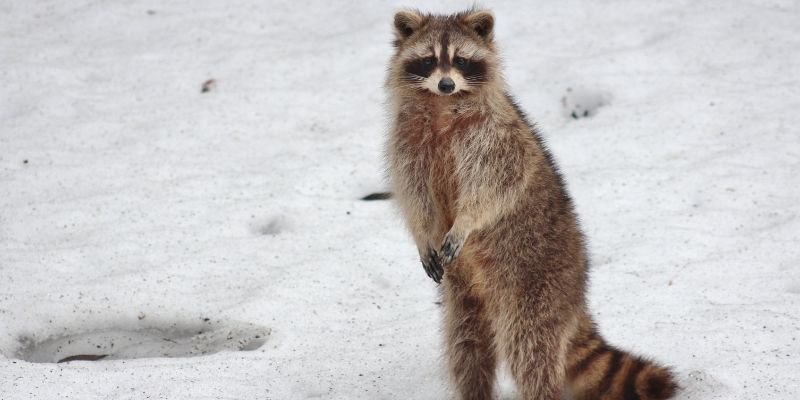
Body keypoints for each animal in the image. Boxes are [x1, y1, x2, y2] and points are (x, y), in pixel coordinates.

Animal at [385, 9, 677, 400]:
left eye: (460, 60)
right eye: (430, 59)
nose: (446, 84)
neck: (443, 105)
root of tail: (577, 295)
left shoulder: (496, 137)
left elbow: (496, 185)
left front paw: (466, 221)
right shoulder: (406, 140)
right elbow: (413, 193)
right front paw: (422, 233)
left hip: (537, 285)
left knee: (529, 346)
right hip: (464, 294)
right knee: (465, 343)